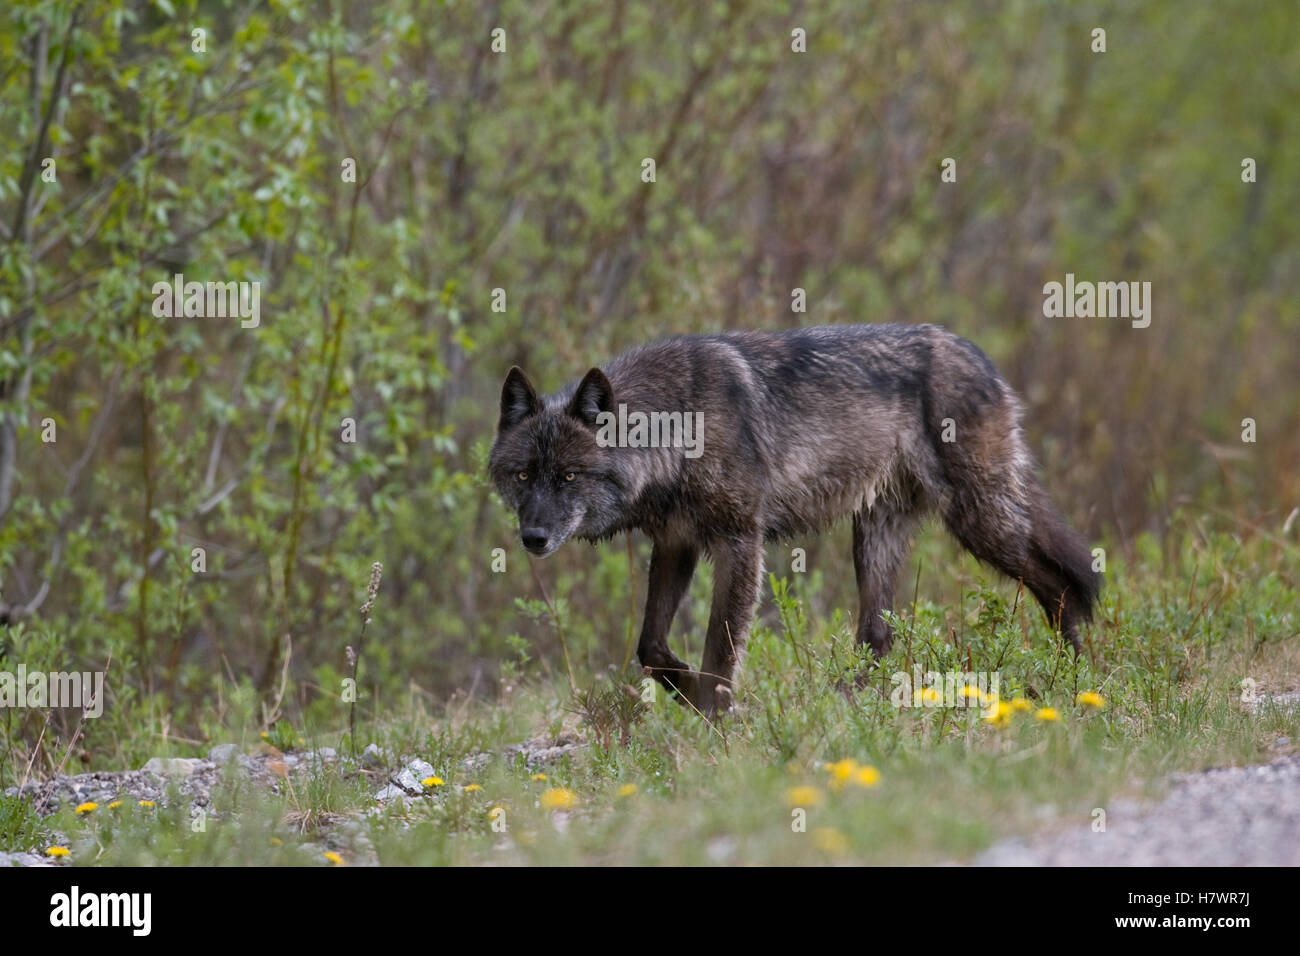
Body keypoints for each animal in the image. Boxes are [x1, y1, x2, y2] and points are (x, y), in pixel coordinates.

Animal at [489, 324, 1101, 717]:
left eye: (569, 477)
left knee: (1064, 584)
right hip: (876, 536)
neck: (676, 429)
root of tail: (980, 356)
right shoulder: (676, 545)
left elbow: (720, 651)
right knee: (878, 635)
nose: (532, 538)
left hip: (981, 521)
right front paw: (687, 693)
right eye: (522, 476)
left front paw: (714, 725)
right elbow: (651, 648)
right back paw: (847, 708)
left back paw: (1075, 680)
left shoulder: (740, 542)